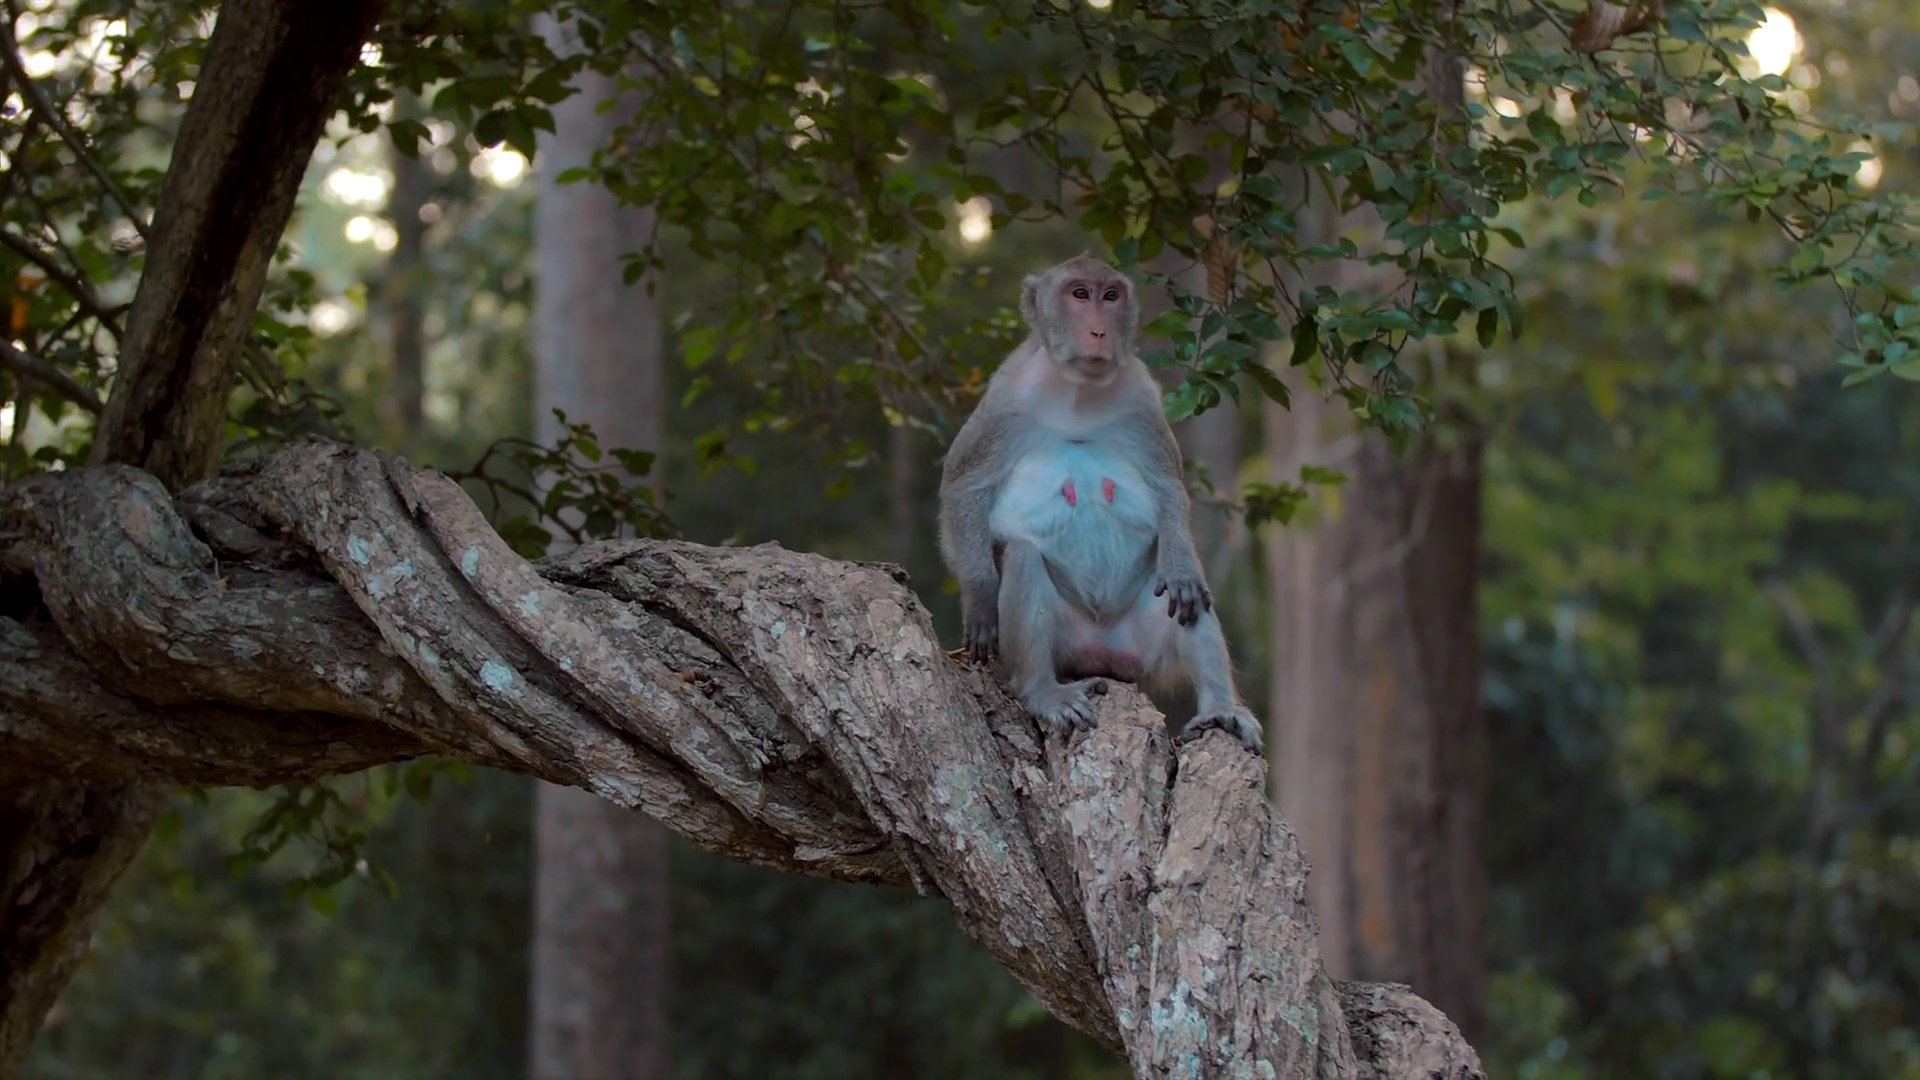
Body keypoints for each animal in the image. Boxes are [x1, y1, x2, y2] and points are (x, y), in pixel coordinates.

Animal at [937, 254, 1264, 754]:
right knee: (1025, 558)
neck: (1079, 392)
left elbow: (1168, 488)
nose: (1098, 330)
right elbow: (963, 488)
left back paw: (1221, 707)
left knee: (1191, 594)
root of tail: (1105, 654)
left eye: (1110, 296)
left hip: (1146, 640)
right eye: (1078, 294)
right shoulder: (1006, 397)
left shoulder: (1142, 396)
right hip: (1066, 644)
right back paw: (1043, 692)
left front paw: (1182, 568)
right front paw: (979, 601)